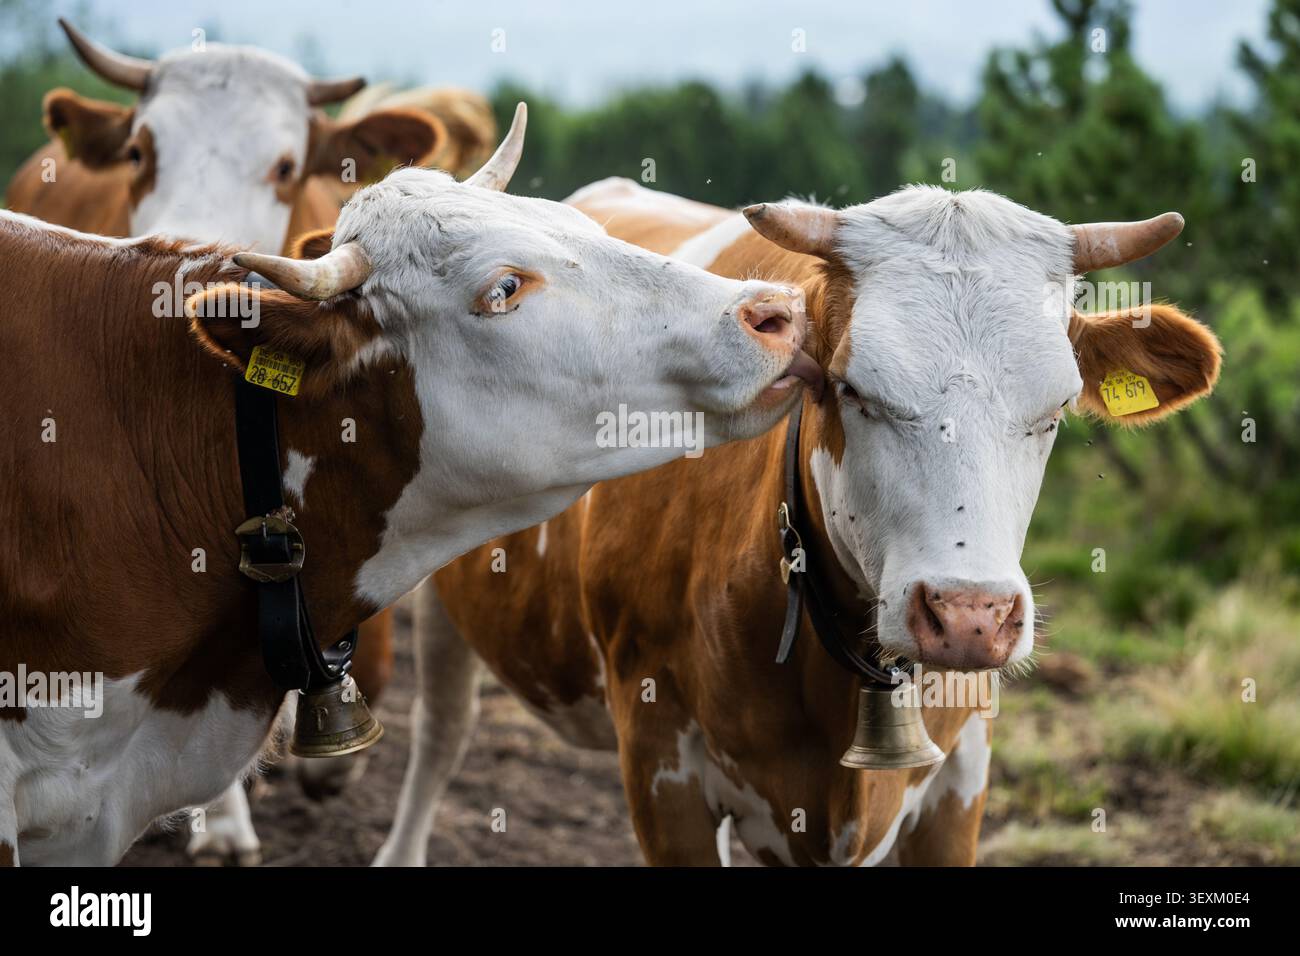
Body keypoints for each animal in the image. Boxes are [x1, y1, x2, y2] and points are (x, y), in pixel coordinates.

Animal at [376, 178, 1222, 866]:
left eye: (1053, 412)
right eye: (852, 389)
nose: (969, 617)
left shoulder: (960, 786)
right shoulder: (661, 769)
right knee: (441, 730)